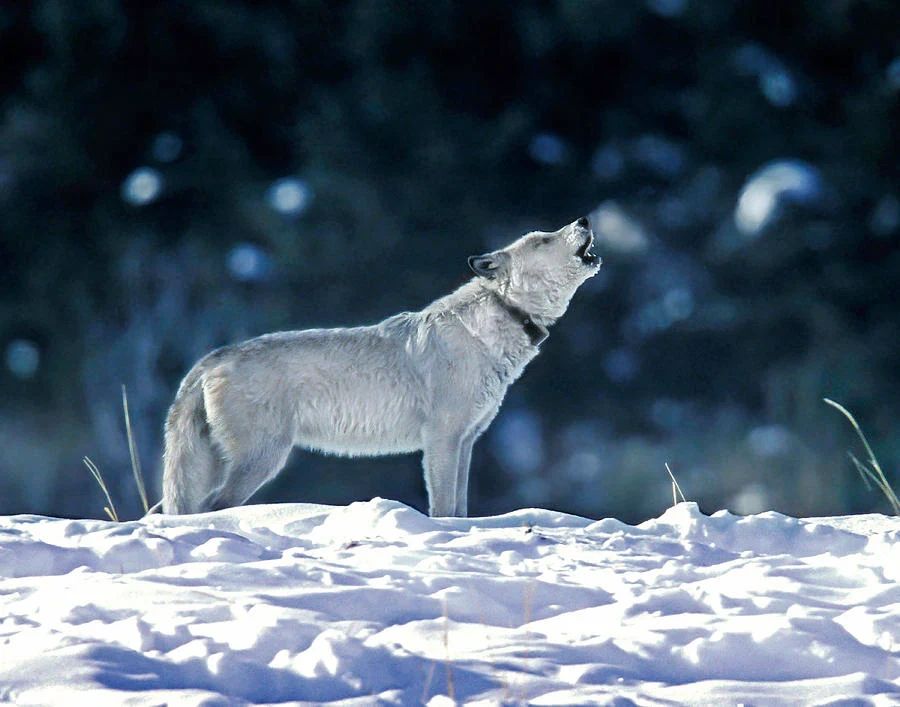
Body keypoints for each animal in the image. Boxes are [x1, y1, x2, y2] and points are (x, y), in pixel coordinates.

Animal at [161, 217, 601, 516]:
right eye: (543, 239)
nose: (584, 219)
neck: (498, 320)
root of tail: (214, 356)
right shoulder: (441, 439)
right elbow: (443, 509)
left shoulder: (467, 441)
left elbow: (460, 510)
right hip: (263, 459)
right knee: (212, 506)